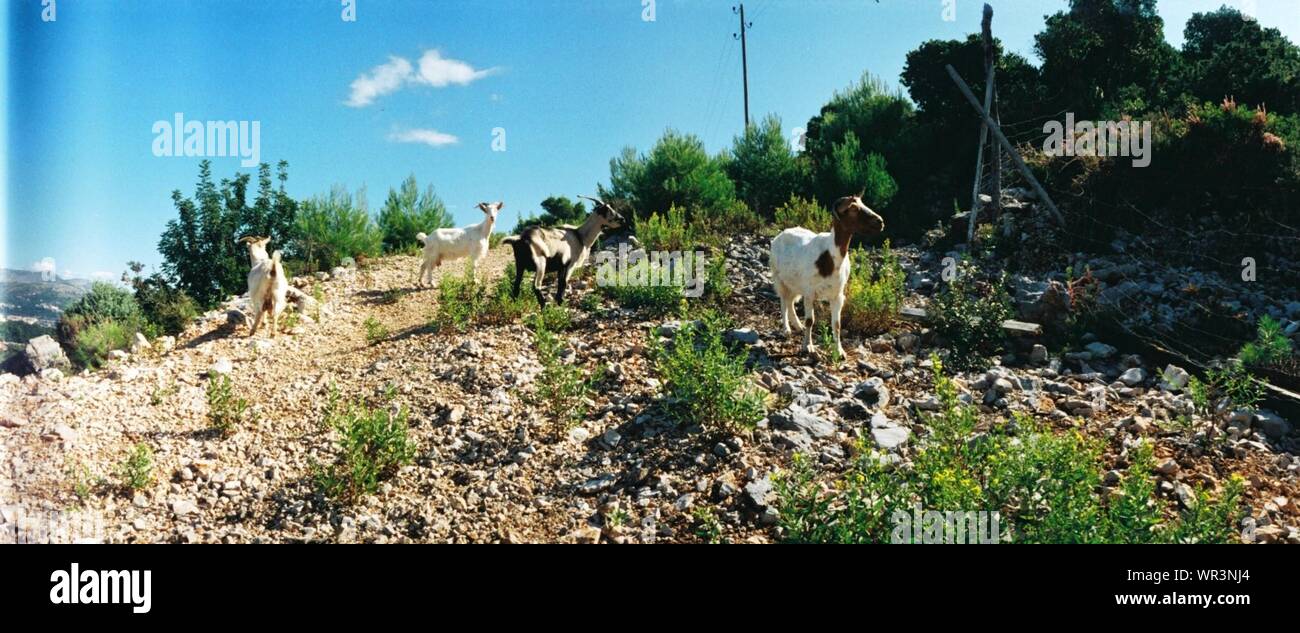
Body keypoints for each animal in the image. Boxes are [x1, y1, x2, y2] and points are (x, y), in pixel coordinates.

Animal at [769, 195, 884, 358]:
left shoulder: (837, 295)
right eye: (852, 208)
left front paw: (840, 351)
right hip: (779, 278)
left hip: (795, 283)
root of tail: (781, 234)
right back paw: (786, 329)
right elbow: (810, 320)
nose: (880, 222)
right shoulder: (809, 293)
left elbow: (837, 324)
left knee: (790, 301)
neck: (829, 257)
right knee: (783, 301)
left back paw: (798, 326)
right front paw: (807, 346)